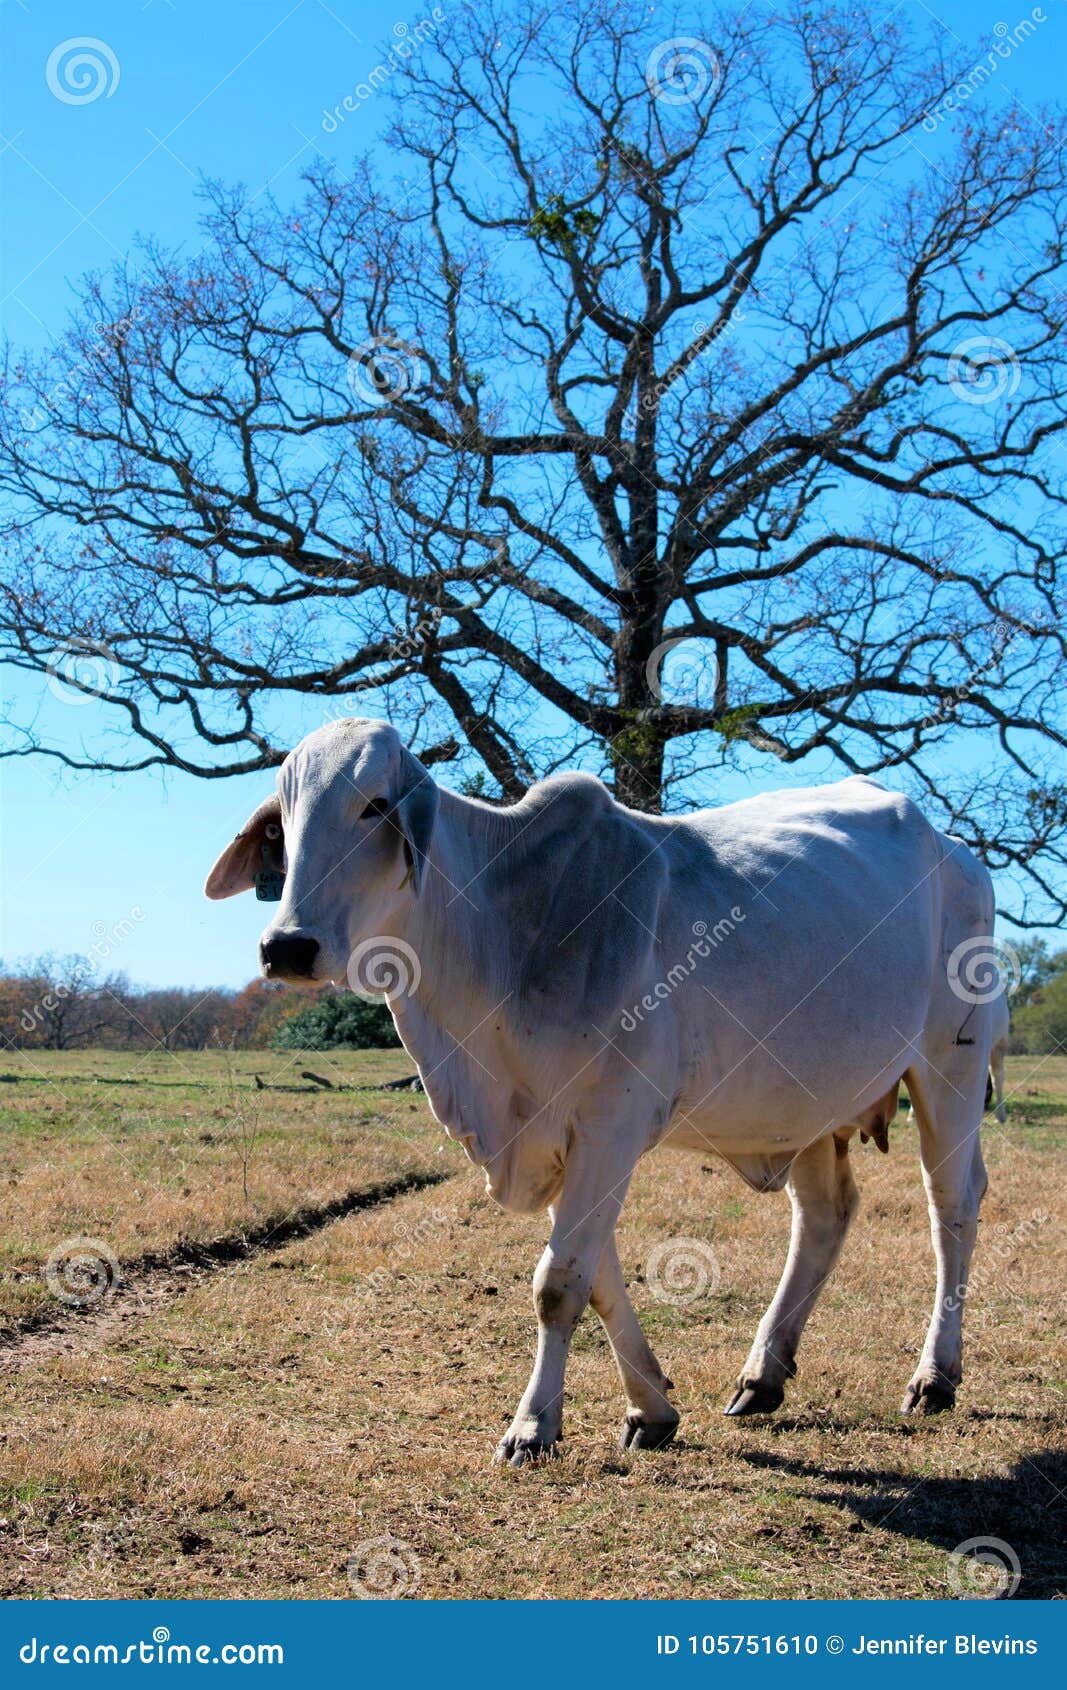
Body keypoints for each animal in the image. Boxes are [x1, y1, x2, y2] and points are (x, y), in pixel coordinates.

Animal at [205, 718, 996, 1465]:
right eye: (282, 818)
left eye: (374, 806)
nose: (287, 947)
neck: (502, 927)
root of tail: (956, 850)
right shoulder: (558, 1135)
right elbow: (598, 1274)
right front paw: (652, 1409)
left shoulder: (611, 1123)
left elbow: (559, 1283)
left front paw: (533, 1427)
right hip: (806, 1104)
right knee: (825, 1217)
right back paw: (763, 1375)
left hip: (949, 1070)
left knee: (951, 1208)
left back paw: (935, 1377)